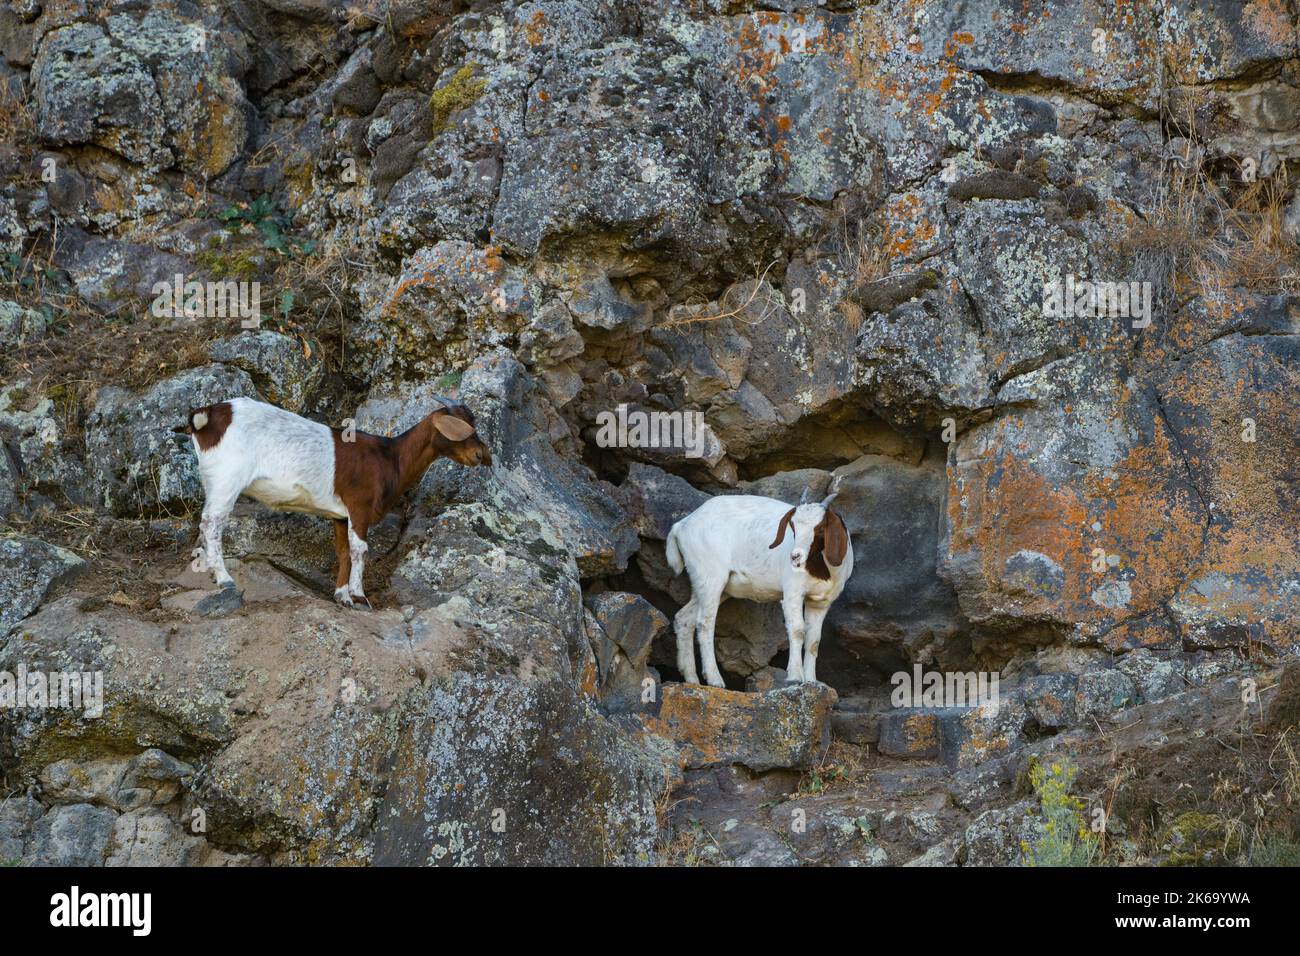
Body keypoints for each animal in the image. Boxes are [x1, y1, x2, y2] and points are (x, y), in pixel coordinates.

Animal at [175, 396, 492, 608]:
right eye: (463, 427)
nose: (480, 455)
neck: (389, 457)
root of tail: (208, 415)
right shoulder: (359, 505)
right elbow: (360, 549)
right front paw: (359, 596)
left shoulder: (340, 515)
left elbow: (343, 552)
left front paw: (341, 595)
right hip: (228, 478)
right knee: (212, 524)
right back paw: (224, 578)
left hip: (214, 480)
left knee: (206, 523)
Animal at [665, 477, 853, 687]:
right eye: (793, 526)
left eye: (820, 528)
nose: (795, 557)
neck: (821, 569)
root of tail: (681, 525)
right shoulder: (792, 592)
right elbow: (797, 631)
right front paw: (795, 677)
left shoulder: (821, 602)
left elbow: (814, 641)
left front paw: (812, 681)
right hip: (711, 576)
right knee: (705, 622)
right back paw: (714, 680)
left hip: (706, 584)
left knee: (684, 618)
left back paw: (692, 679)